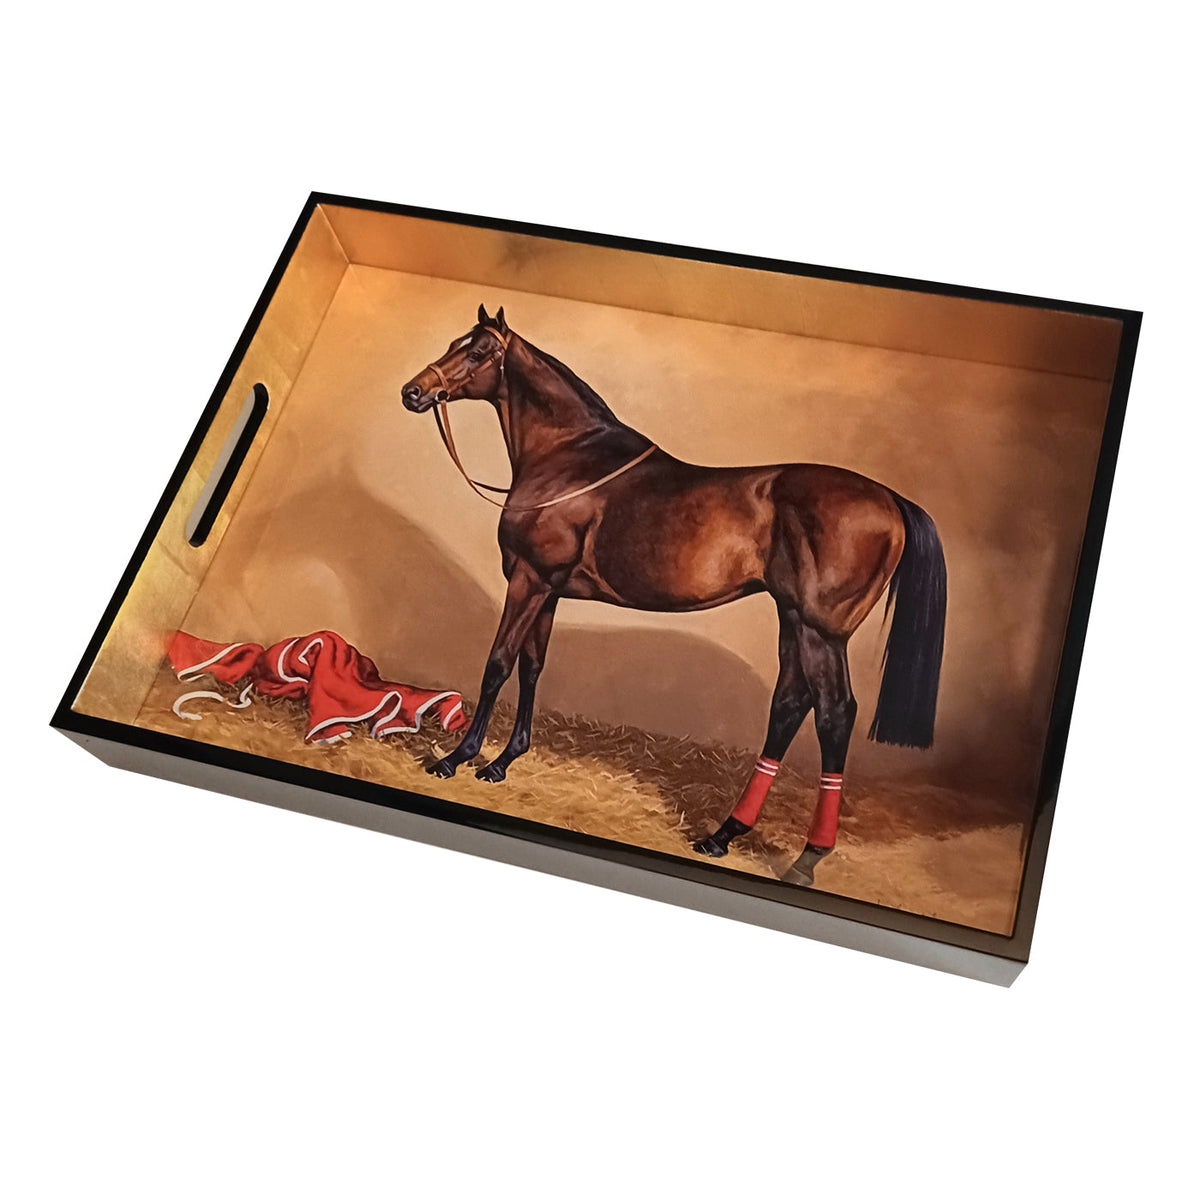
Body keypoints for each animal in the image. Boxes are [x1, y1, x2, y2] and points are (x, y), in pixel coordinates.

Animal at [400, 306, 946, 885]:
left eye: (479, 351)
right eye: (455, 343)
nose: (414, 392)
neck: (569, 458)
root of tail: (890, 500)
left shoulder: (529, 578)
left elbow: (498, 663)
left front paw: (456, 758)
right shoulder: (547, 589)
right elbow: (532, 666)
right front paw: (502, 762)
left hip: (823, 631)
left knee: (834, 714)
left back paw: (806, 858)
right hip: (793, 619)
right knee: (789, 705)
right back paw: (723, 835)